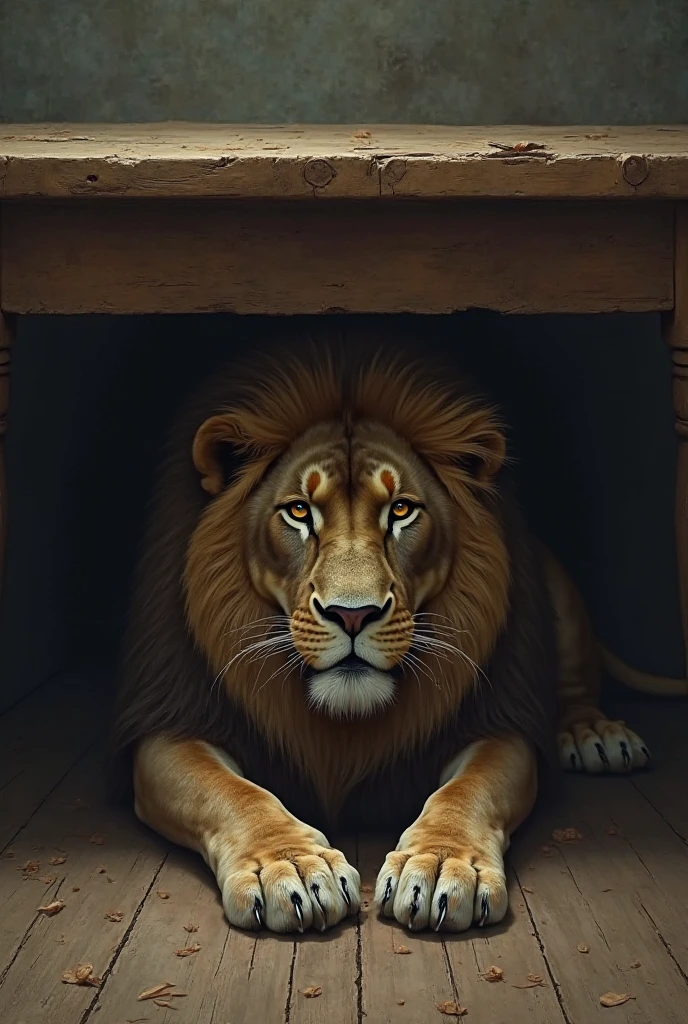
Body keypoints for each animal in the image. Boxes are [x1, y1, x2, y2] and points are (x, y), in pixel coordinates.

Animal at [114, 342, 649, 935]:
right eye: (298, 511)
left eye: (401, 510)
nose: (354, 615)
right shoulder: (168, 728)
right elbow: (234, 793)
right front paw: (293, 868)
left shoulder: (499, 721)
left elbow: (468, 792)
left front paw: (439, 866)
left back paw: (594, 734)